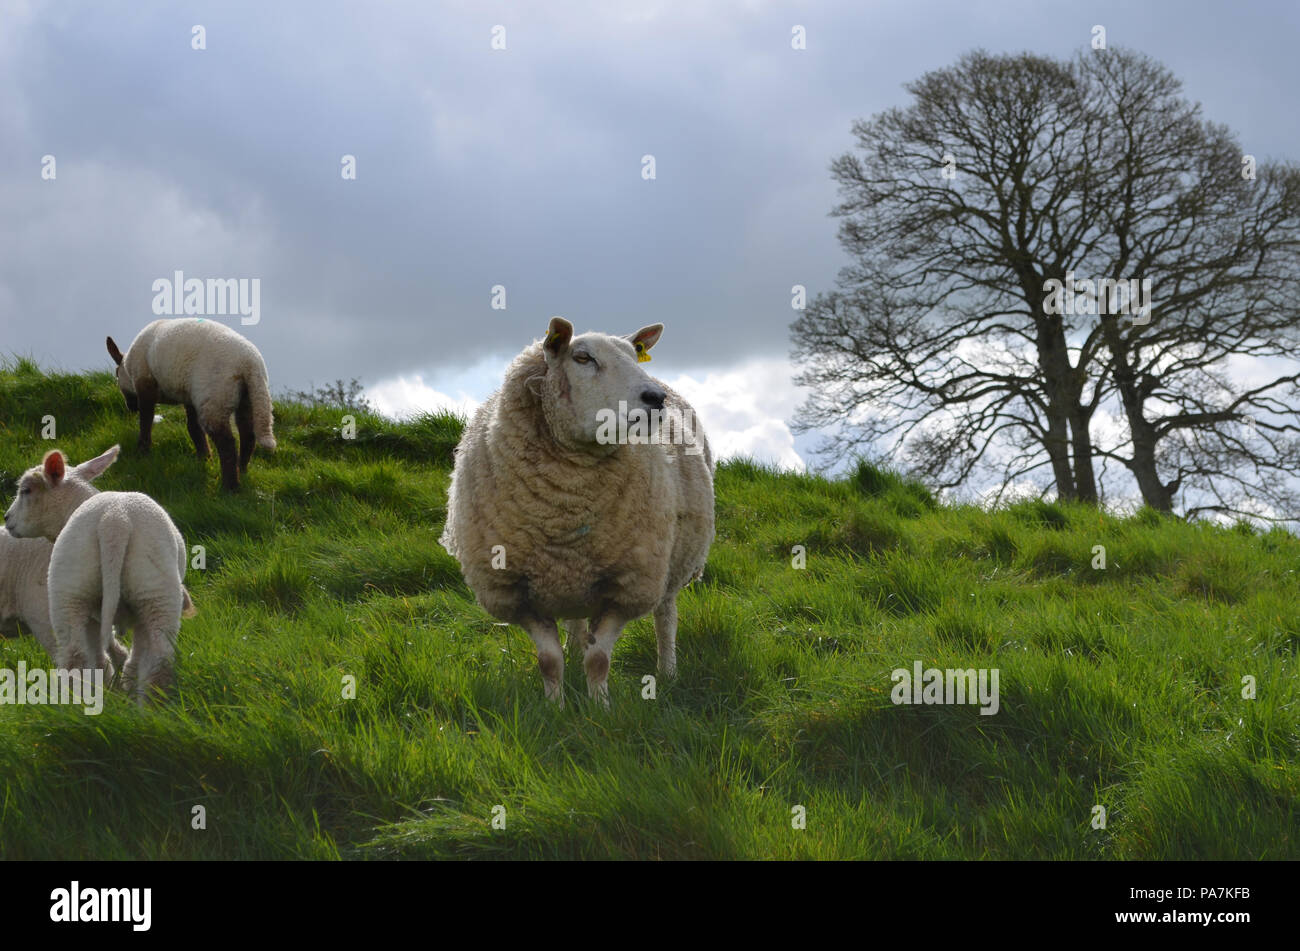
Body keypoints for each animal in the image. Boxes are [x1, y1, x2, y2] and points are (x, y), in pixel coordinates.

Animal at [106, 317, 276, 491]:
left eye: (116, 375)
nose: (131, 407)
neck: (129, 367)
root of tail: (250, 364)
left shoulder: (145, 383)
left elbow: (146, 421)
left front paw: (142, 452)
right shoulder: (189, 396)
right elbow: (193, 428)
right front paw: (204, 458)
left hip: (215, 397)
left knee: (227, 443)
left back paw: (230, 487)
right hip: (248, 398)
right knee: (247, 435)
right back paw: (241, 470)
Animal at [440, 317, 715, 707]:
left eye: (634, 355)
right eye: (582, 358)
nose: (655, 398)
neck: (565, 508)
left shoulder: (627, 586)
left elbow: (599, 659)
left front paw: (600, 707)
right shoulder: (516, 593)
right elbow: (548, 661)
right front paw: (555, 707)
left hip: (669, 566)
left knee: (665, 616)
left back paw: (668, 671)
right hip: (573, 583)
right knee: (575, 621)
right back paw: (574, 651)